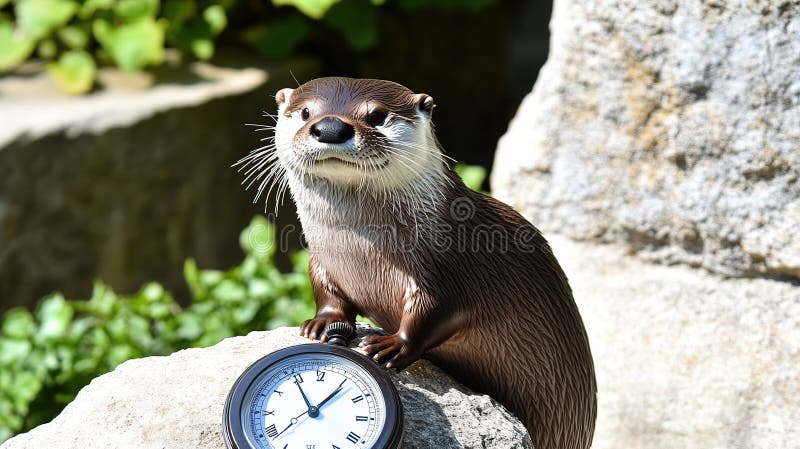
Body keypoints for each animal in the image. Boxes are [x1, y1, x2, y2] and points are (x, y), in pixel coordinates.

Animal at [239, 77, 597, 449]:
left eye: (377, 115)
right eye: (306, 112)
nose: (331, 127)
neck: (360, 254)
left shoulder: (450, 265)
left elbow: (439, 311)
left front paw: (392, 345)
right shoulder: (321, 260)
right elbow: (327, 292)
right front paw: (323, 323)